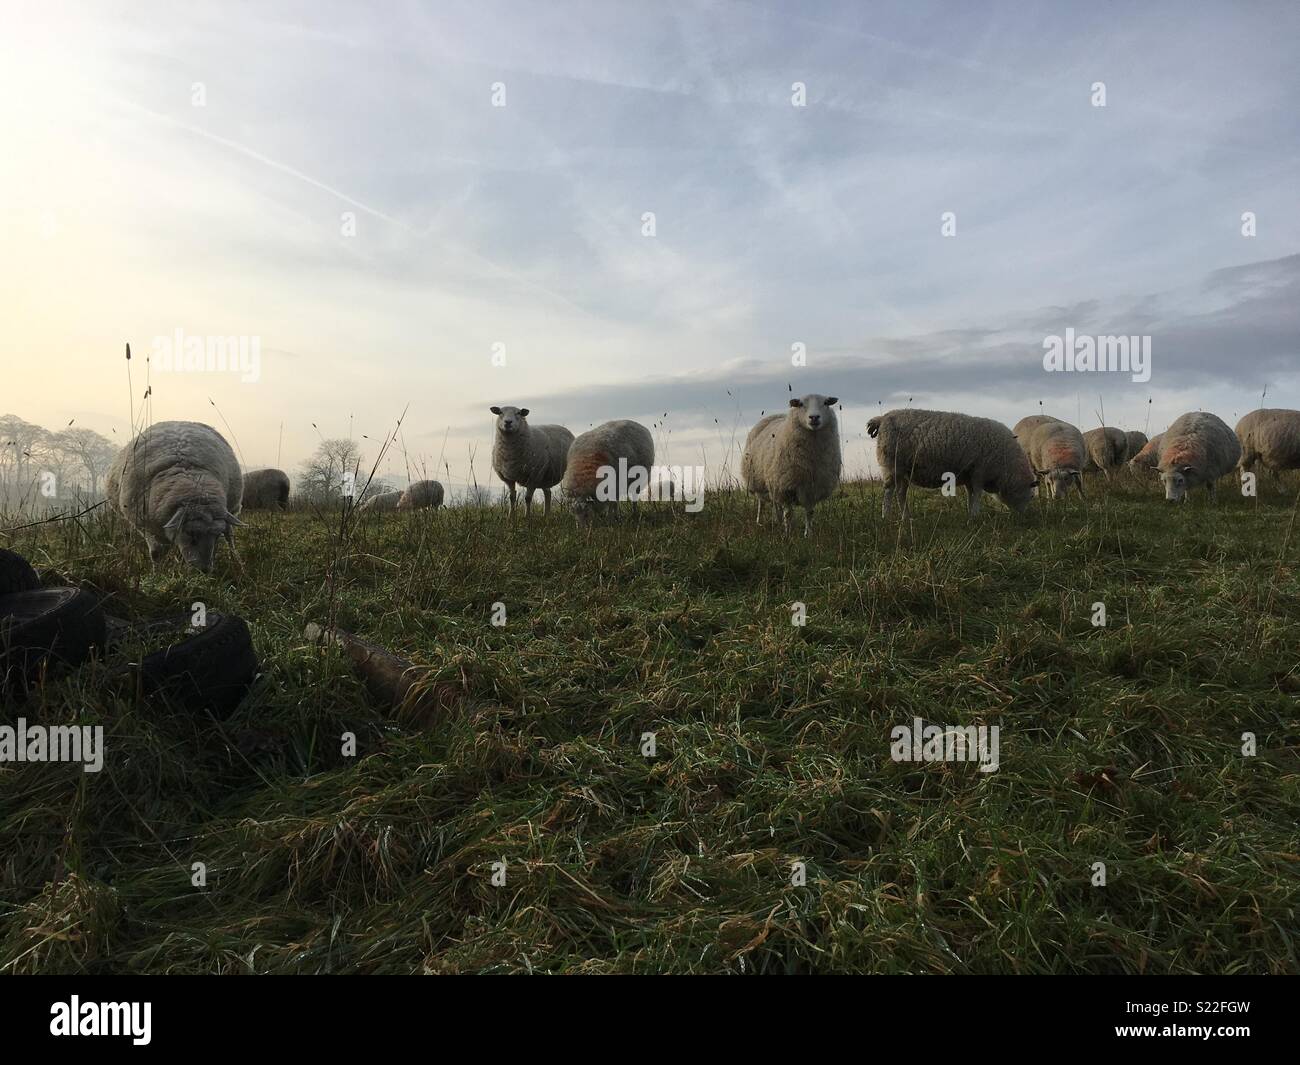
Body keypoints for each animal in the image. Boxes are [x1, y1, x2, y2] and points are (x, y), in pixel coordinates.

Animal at [105, 420, 243, 572]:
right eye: (190, 534)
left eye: (216, 535)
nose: (204, 570)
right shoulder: (148, 526)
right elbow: (156, 553)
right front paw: (157, 574)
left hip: (232, 510)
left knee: (230, 535)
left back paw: (237, 561)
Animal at [741, 394, 841, 535]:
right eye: (800, 404)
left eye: (826, 403)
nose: (814, 417)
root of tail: (776, 415)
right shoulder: (785, 487)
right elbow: (788, 514)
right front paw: (787, 534)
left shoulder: (812, 488)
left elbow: (809, 513)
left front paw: (808, 534)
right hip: (759, 481)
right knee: (762, 503)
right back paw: (761, 522)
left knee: (775, 505)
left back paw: (777, 522)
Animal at [868, 409, 1037, 518]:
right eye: (1031, 496)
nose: (1023, 516)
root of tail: (882, 418)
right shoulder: (979, 472)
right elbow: (977, 495)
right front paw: (976, 514)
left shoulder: (970, 475)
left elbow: (971, 494)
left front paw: (971, 515)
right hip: (892, 465)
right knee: (889, 491)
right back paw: (886, 516)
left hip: (904, 470)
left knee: (900, 493)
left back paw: (906, 517)